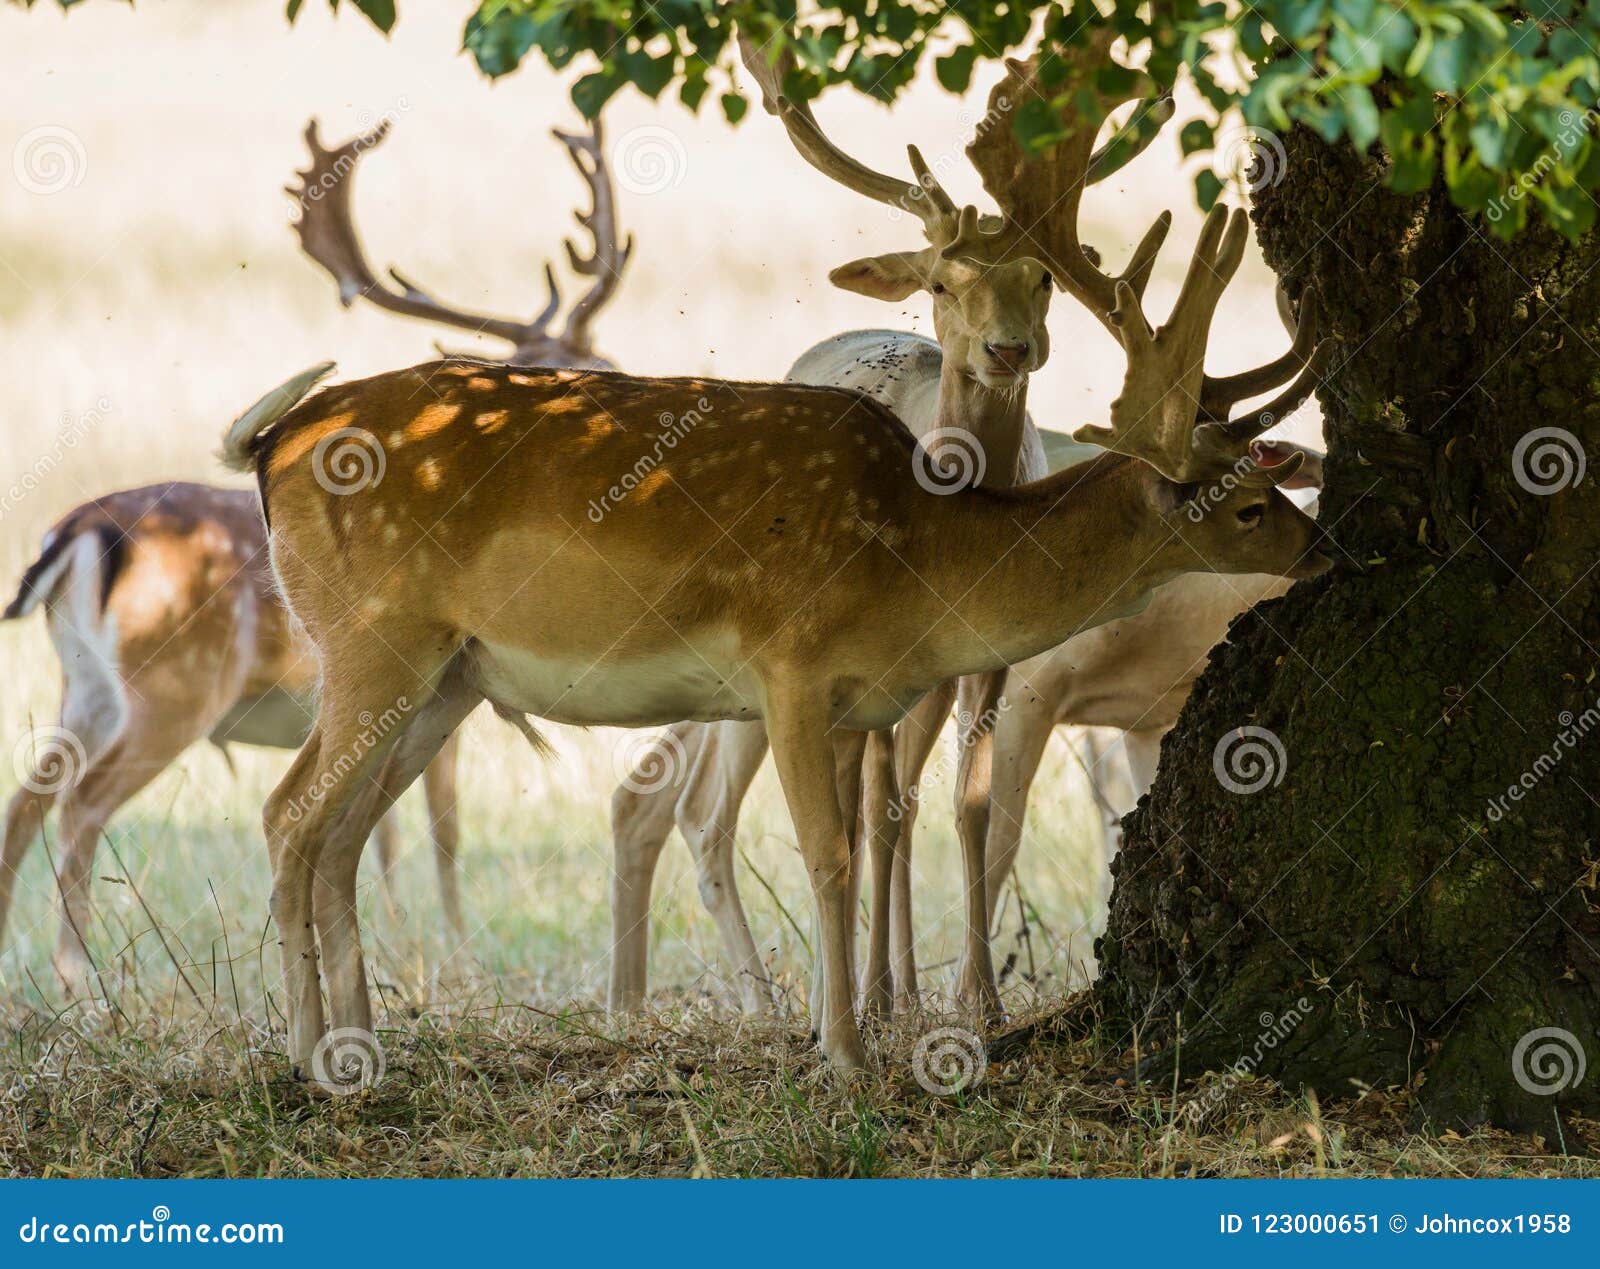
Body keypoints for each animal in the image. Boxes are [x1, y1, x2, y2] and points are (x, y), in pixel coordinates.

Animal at [0, 117, 632, 994]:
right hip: (171, 684)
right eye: (564, 373)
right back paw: (80, 978)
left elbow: (389, 829)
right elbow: (440, 827)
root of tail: (76, 533)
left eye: (605, 358)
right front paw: (452, 949)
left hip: (84, 684)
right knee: (82, 802)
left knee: (27, 796)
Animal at [219, 95, 1329, 1088]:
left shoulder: (857, 702)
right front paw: (842, 1054)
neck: (921, 557)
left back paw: (367, 1052)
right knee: (287, 816)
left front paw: (856, 1030)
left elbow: (875, 831)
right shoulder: (790, 664)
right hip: (368, 638)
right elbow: (826, 851)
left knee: (341, 836)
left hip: (448, 676)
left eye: (1271, 477)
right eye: (1241, 505)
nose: (1323, 546)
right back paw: (310, 1060)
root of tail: (273, 441)